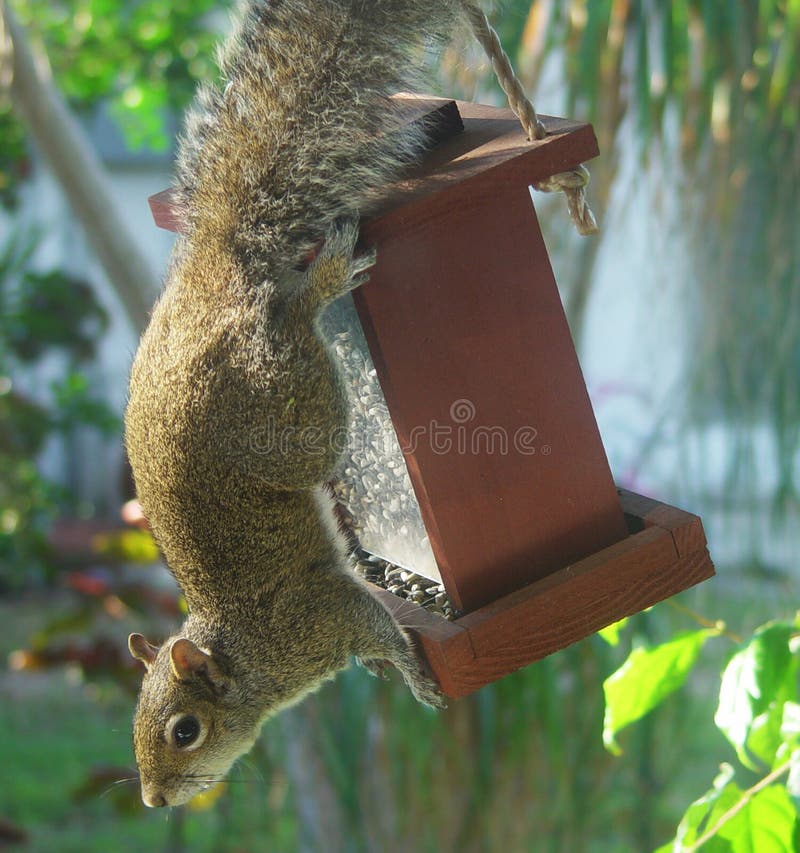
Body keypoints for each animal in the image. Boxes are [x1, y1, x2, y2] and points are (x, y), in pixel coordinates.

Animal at [124, 0, 460, 808]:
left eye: (185, 730)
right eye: (134, 726)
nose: (154, 800)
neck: (247, 658)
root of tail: (212, 270)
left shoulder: (322, 617)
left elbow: (380, 627)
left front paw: (412, 675)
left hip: (286, 394)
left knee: (299, 321)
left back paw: (324, 281)